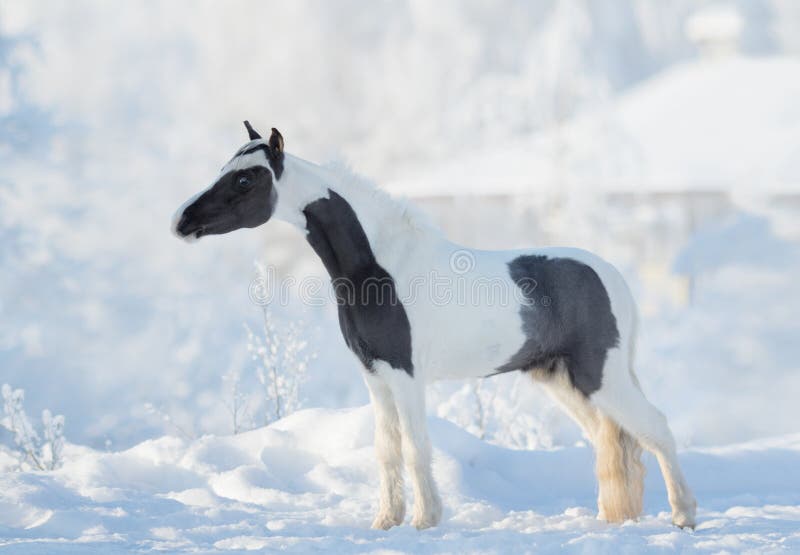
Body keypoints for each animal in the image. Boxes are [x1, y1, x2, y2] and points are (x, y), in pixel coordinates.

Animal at [172, 121, 697, 530]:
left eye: (245, 179)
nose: (182, 220)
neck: (378, 266)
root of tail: (610, 275)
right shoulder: (375, 378)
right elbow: (386, 451)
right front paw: (386, 521)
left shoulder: (406, 377)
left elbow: (416, 448)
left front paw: (426, 519)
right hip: (566, 382)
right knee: (615, 441)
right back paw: (616, 517)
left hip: (601, 377)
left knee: (656, 428)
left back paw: (683, 516)